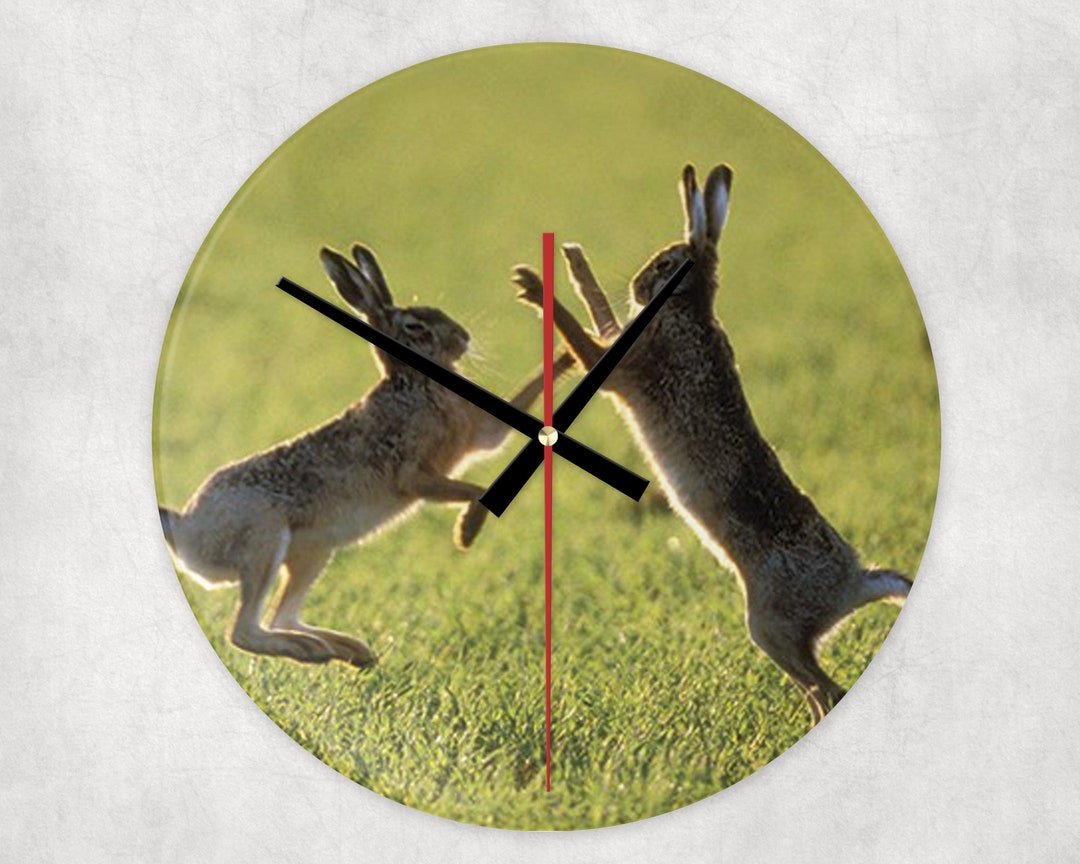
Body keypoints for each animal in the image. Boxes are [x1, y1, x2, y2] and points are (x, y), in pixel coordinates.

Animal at [159, 243, 569, 668]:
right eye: (415, 326)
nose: (463, 337)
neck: (413, 383)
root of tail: (186, 532)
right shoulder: (415, 475)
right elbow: (474, 489)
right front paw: (466, 532)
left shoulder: (480, 435)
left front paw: (570, 354)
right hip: (264, 541)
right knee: (245, 630)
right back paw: (311, 652)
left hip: (313, 554)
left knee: (280, 616)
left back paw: (348, 651)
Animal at [511, 165, 911, 724]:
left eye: (665, 263)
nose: (637, 285)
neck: (687, 308)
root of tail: (856, 584)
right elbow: (598, 315)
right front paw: (572, 259)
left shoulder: (628, 363)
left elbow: (585, 336)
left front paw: (535, 284)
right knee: (818, 689)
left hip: (769, 626)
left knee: (826, 689)